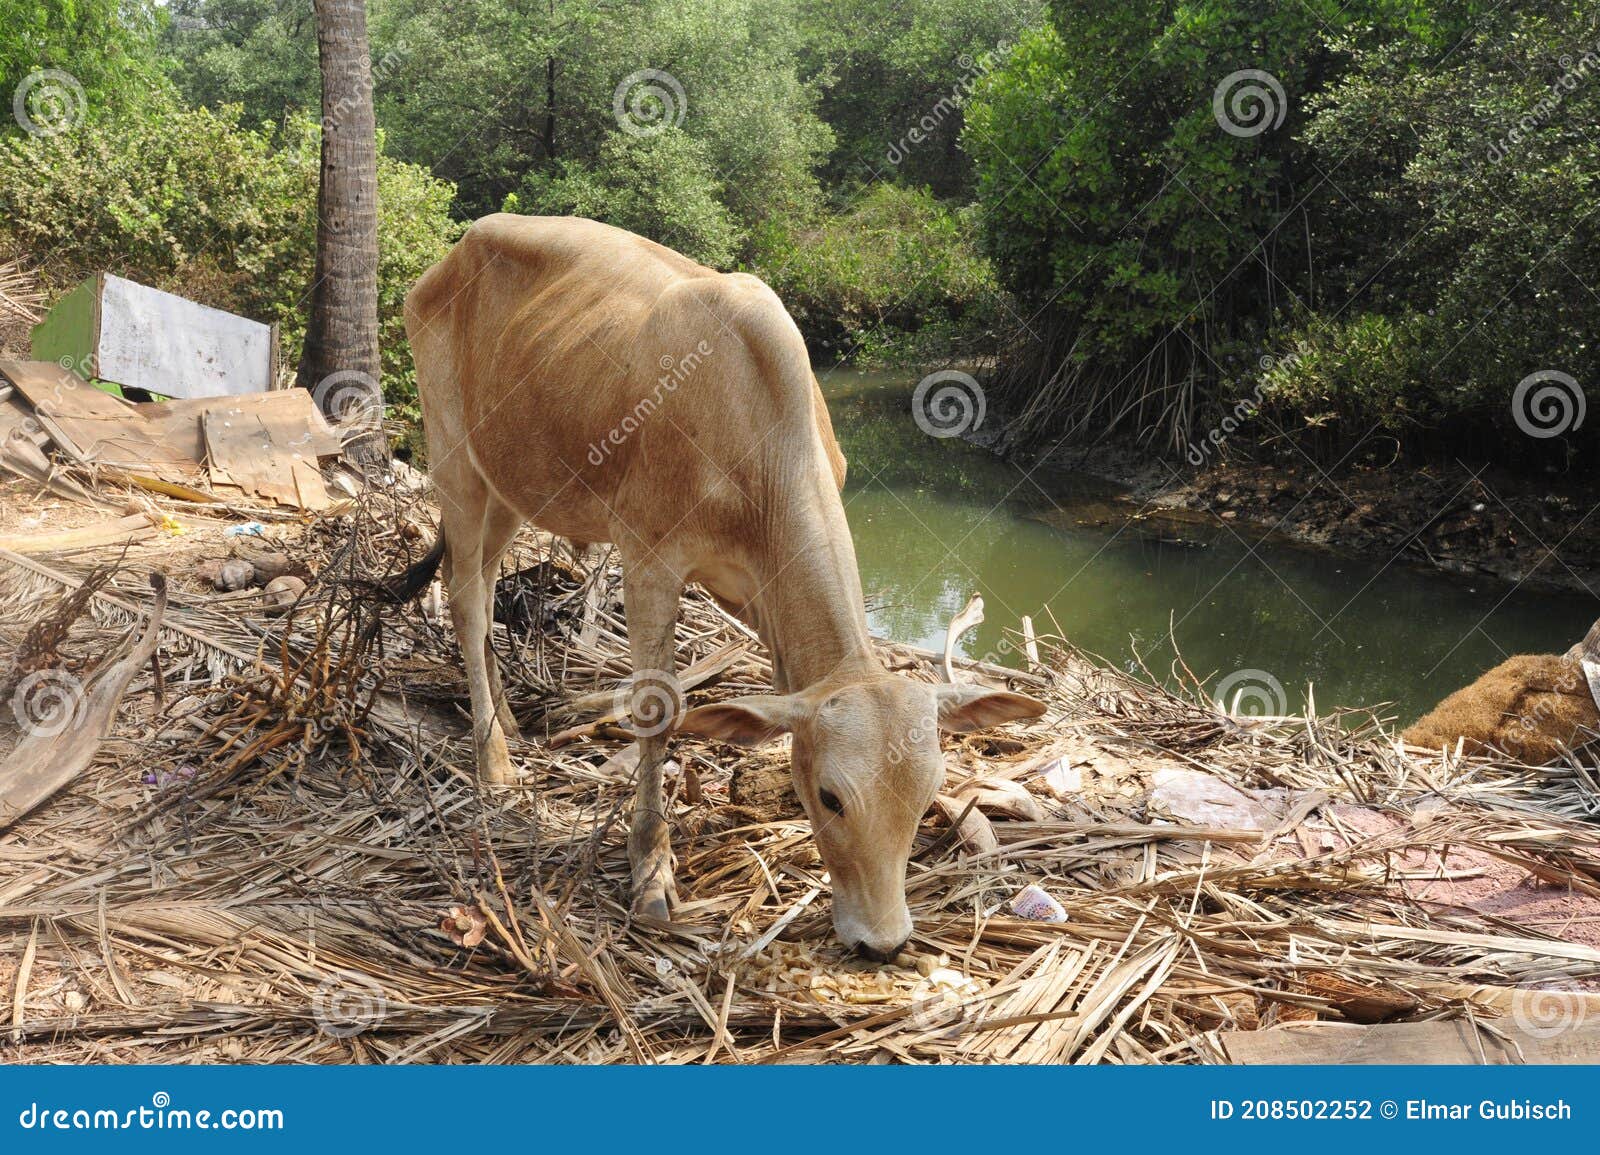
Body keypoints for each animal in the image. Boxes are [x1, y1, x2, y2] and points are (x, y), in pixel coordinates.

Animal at [399, 215, 1045, 959]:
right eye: (832, 797)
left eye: (928, 791)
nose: (882, 941)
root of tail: (456, 251)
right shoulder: (650, 557)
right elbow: (657, 709)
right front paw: (651, 869)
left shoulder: (760, 589)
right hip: (453, 457)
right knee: (467, 600)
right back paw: (495, 763)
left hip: (511, 481)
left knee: (473, 579)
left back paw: (504, 718)